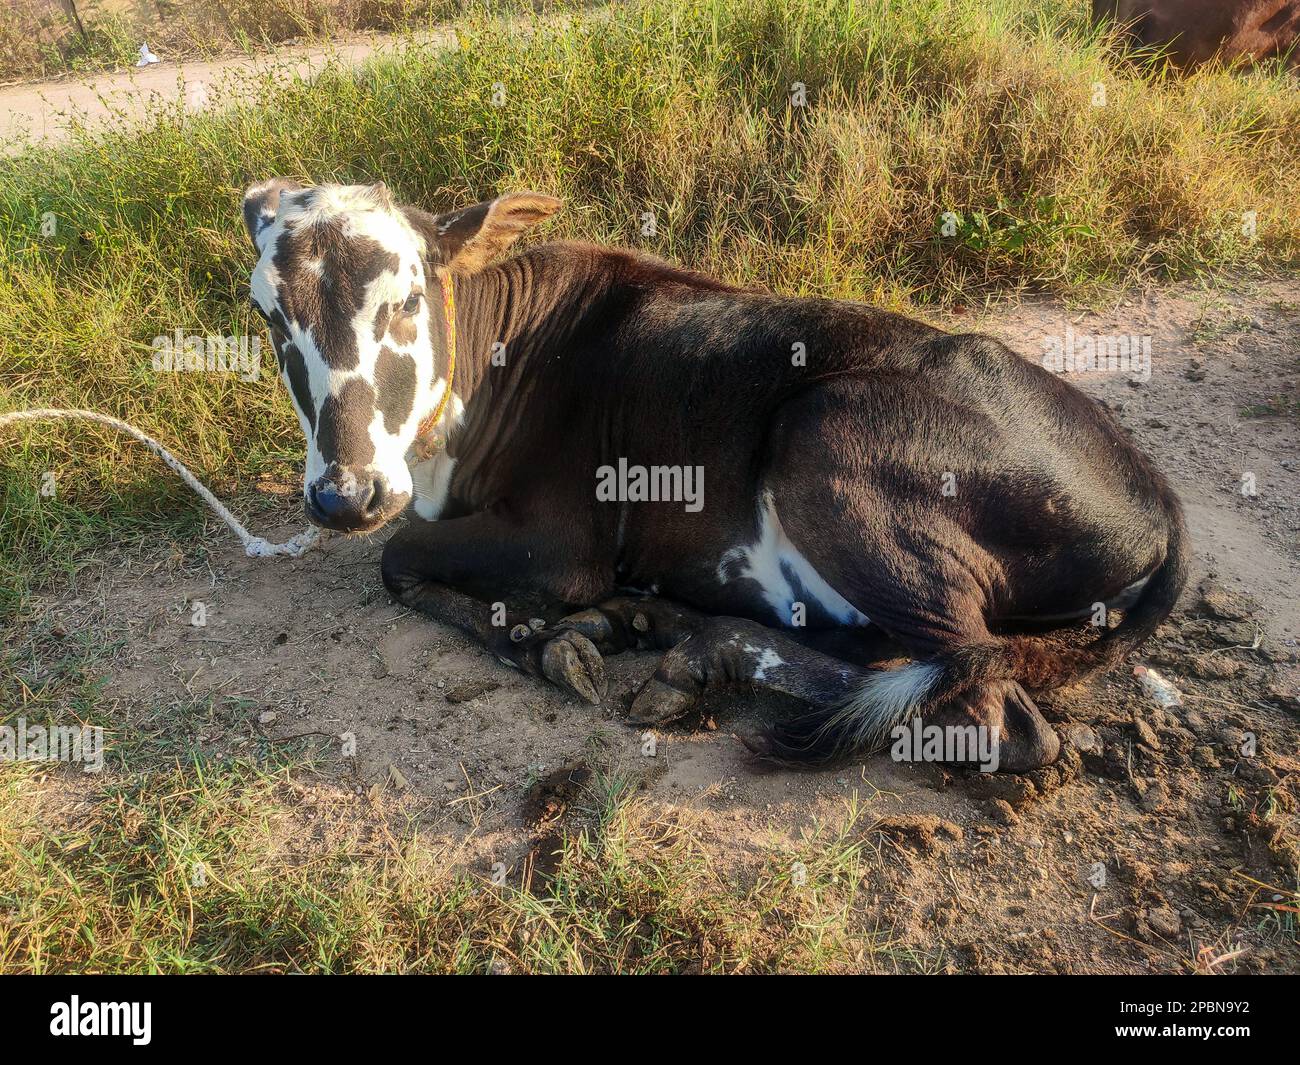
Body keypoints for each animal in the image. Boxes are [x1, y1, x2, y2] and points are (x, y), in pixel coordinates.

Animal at [241, 179, 1189, 774]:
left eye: (406, 298)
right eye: (269, 315)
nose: (342, 494)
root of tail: (1153, 487)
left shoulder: (561, 543)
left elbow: (398, 556)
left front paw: (546, 644)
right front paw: (576, 632)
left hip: (825, 435)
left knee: (1000, 715)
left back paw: (695, 653)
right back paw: (661, 626)